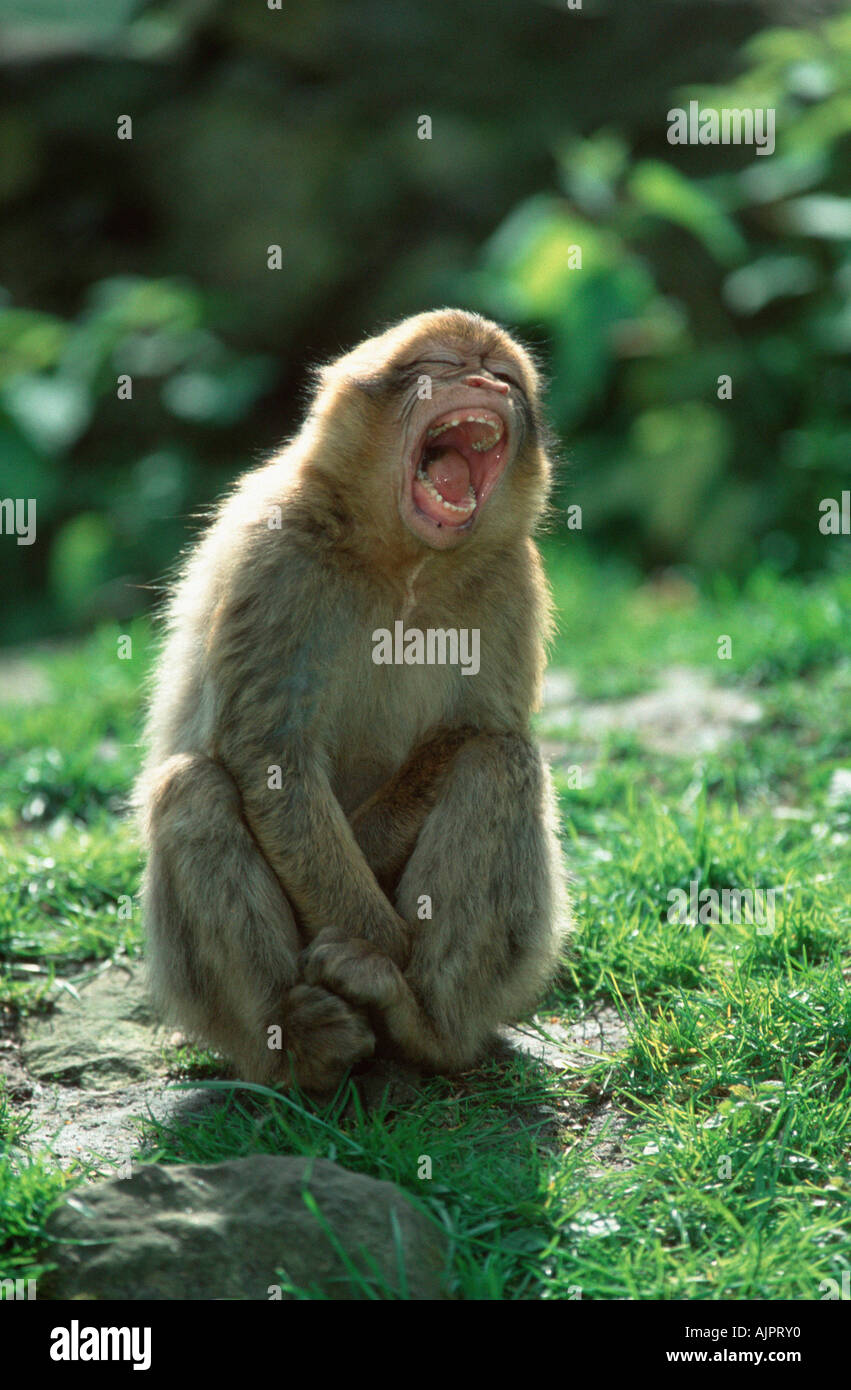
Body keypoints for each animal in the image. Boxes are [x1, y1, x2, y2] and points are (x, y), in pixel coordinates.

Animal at [135, 308, 569, 1092]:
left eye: (504, 375)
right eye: (444, 363)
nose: (488, 385)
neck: (405, 564)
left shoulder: (513, 581)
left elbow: (475, 733)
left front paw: (385, 953)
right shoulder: (273, 559)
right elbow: (271, 760)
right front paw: (378, 937)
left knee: (500, 764)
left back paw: (421, 1022)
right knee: (193, 790)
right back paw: (296, 1045)